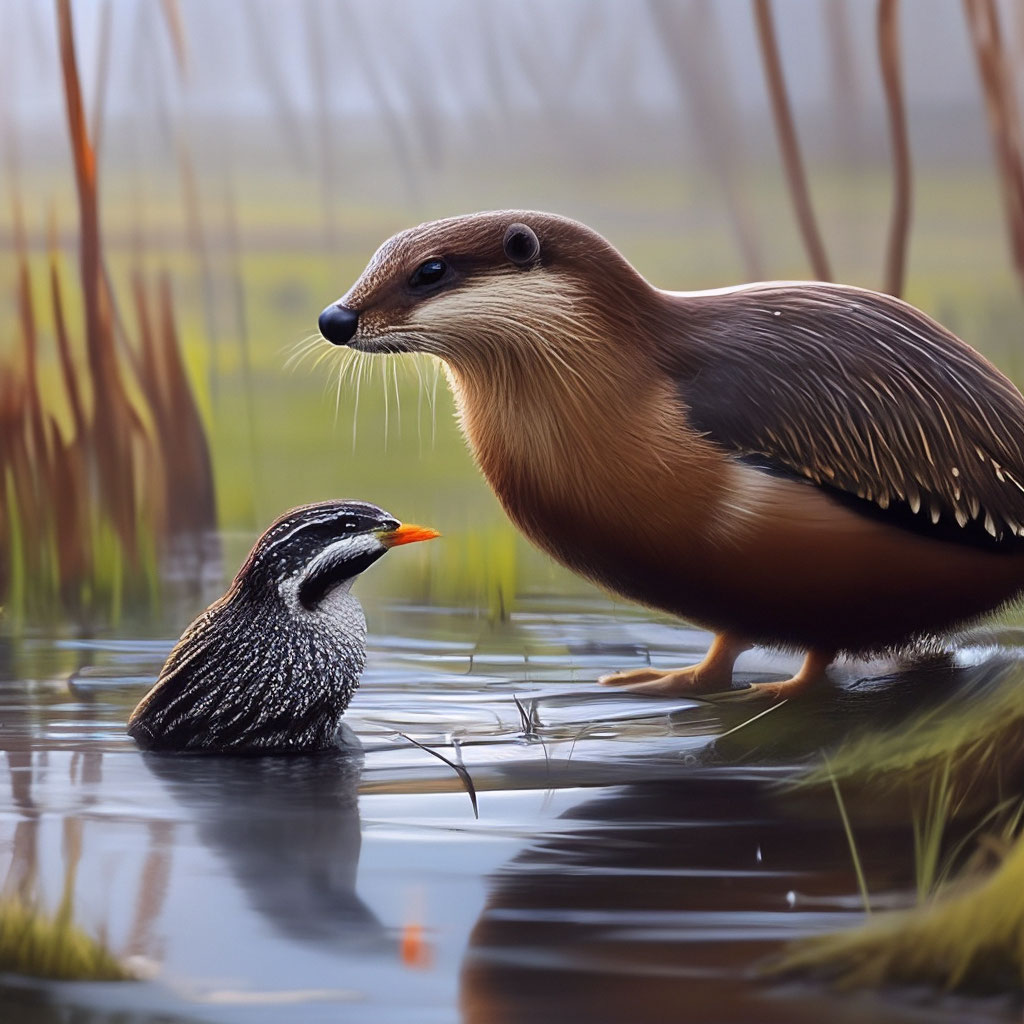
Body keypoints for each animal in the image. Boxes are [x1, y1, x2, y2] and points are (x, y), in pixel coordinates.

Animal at [318, 211, 1024, 699]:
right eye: (381, 257)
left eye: (430, 271)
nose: (334, 319)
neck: (639, 384)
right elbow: (724, 647)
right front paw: (666, 679)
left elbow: (818, 648)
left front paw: (784, 690)